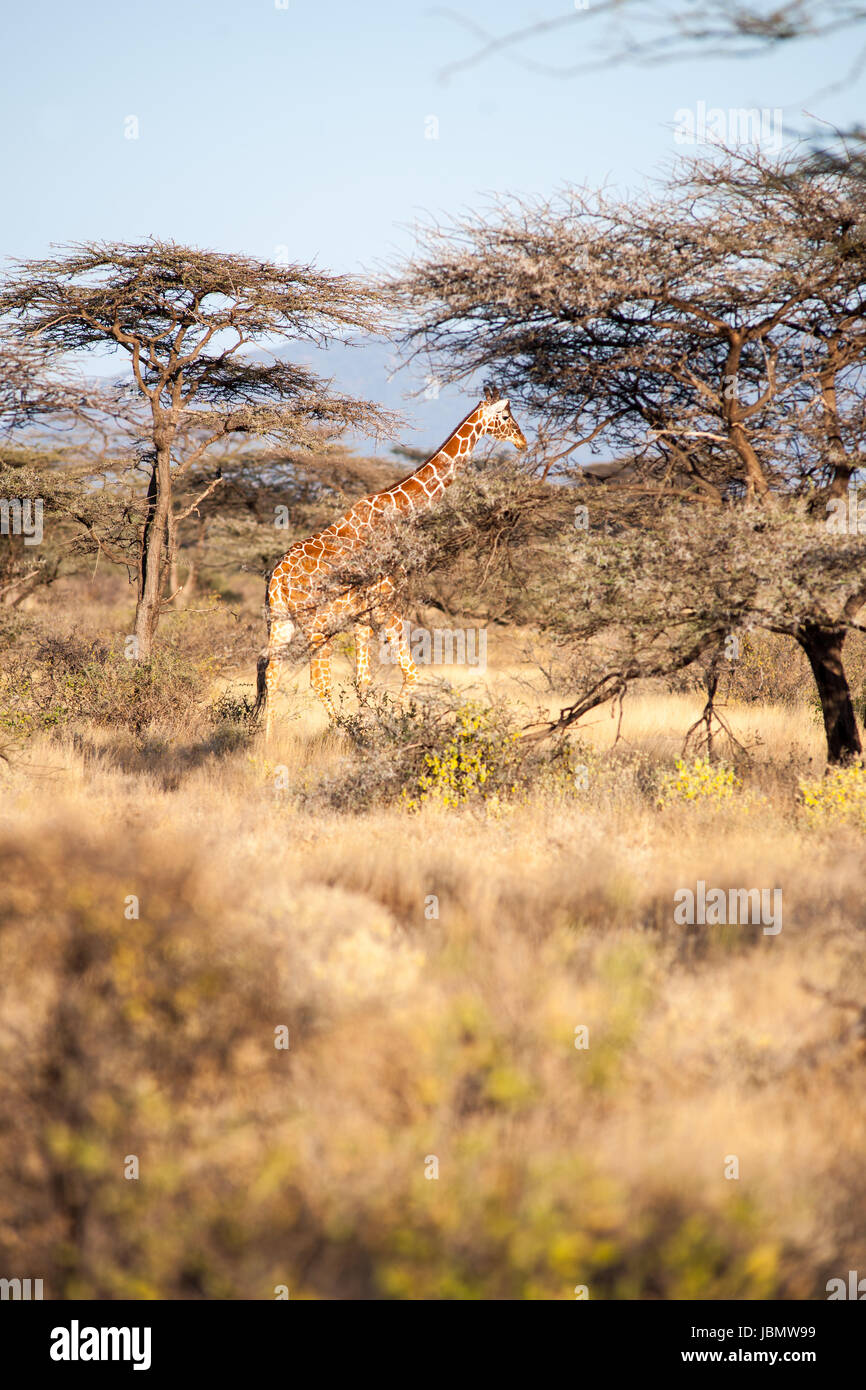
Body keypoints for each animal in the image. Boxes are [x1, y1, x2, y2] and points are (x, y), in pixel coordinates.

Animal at [257, 391, 527, 737]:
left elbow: (364, 680)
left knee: (271, 673)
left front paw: (366, 725)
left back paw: (267, 739)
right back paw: (336, 731)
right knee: (318, 682)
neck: (399, 511)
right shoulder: (390, 606)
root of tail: (276, 580)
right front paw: (386, 728)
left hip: (280, 622)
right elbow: (411, 673)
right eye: (506, 417)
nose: (523, 442)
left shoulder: (361, 616)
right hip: (317, 626)